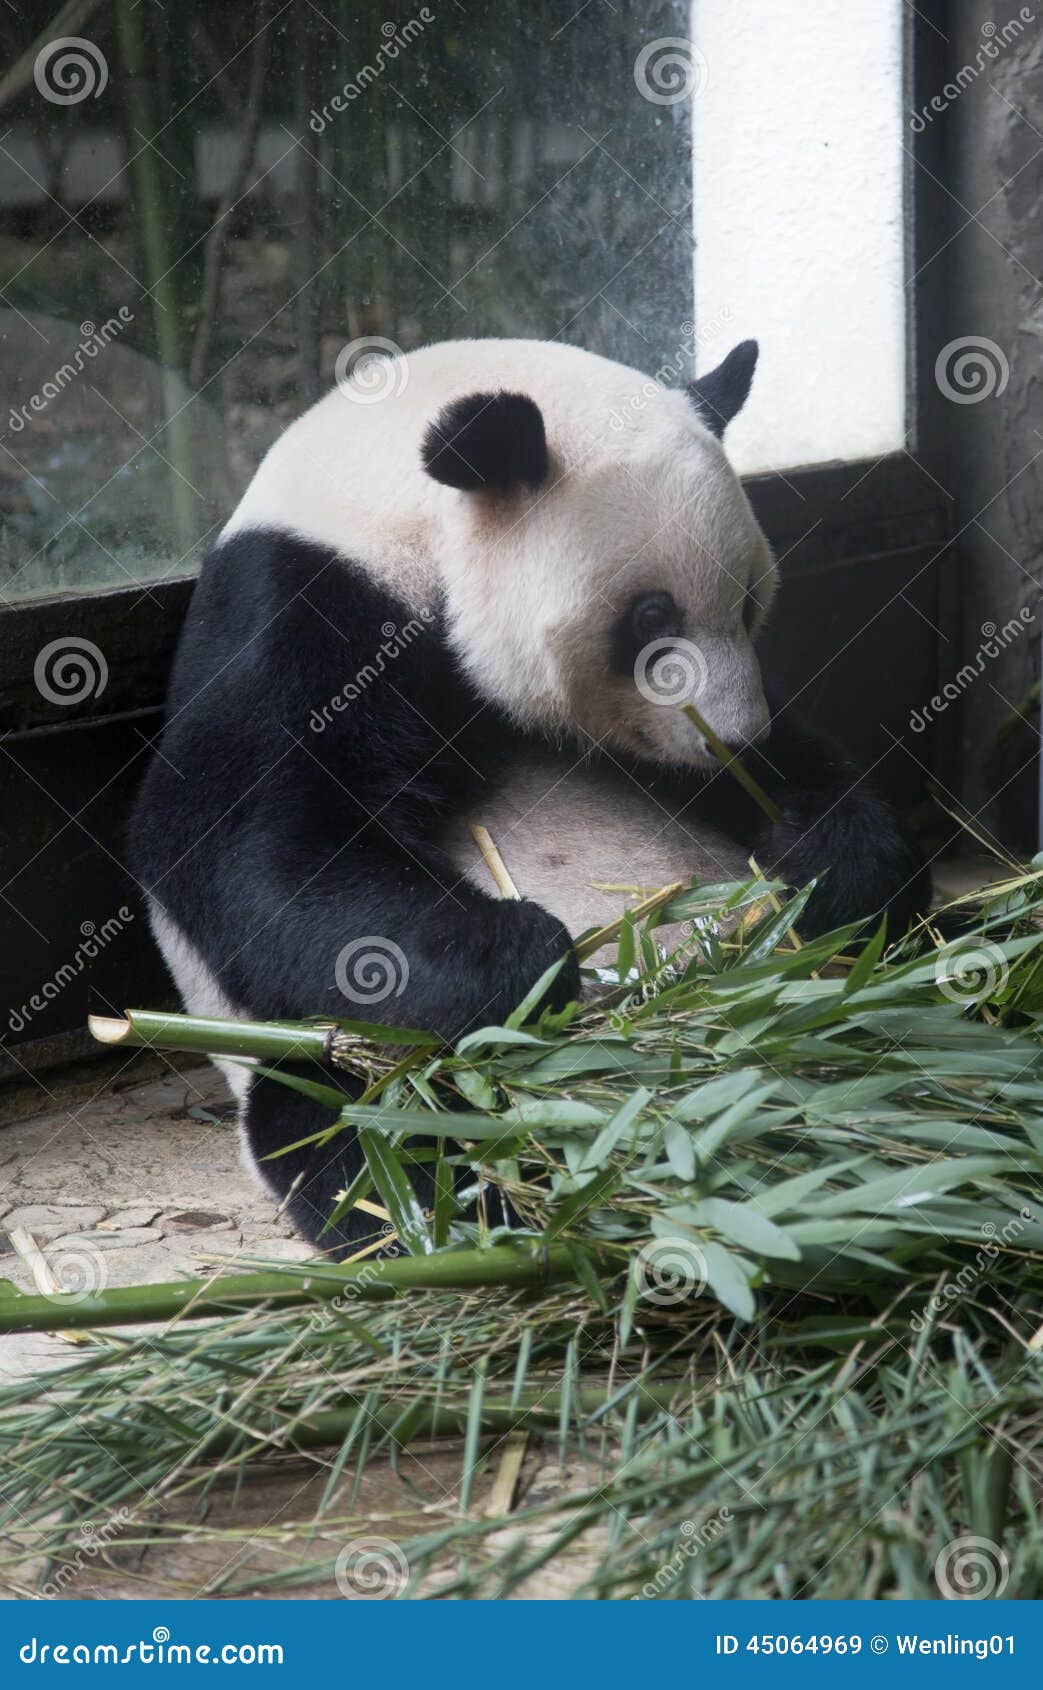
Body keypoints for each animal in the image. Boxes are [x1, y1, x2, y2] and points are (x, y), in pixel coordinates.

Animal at [130, 336, 929, 1253]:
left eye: (747, 601)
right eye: (650, 617)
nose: (732, 735)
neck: (396, 513)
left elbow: (799, 776)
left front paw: (826, 849)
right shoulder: (306, 601)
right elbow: (237, 835)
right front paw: (524, 956)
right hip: (321, 1046)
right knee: (363, 1131)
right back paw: (485, 1212)